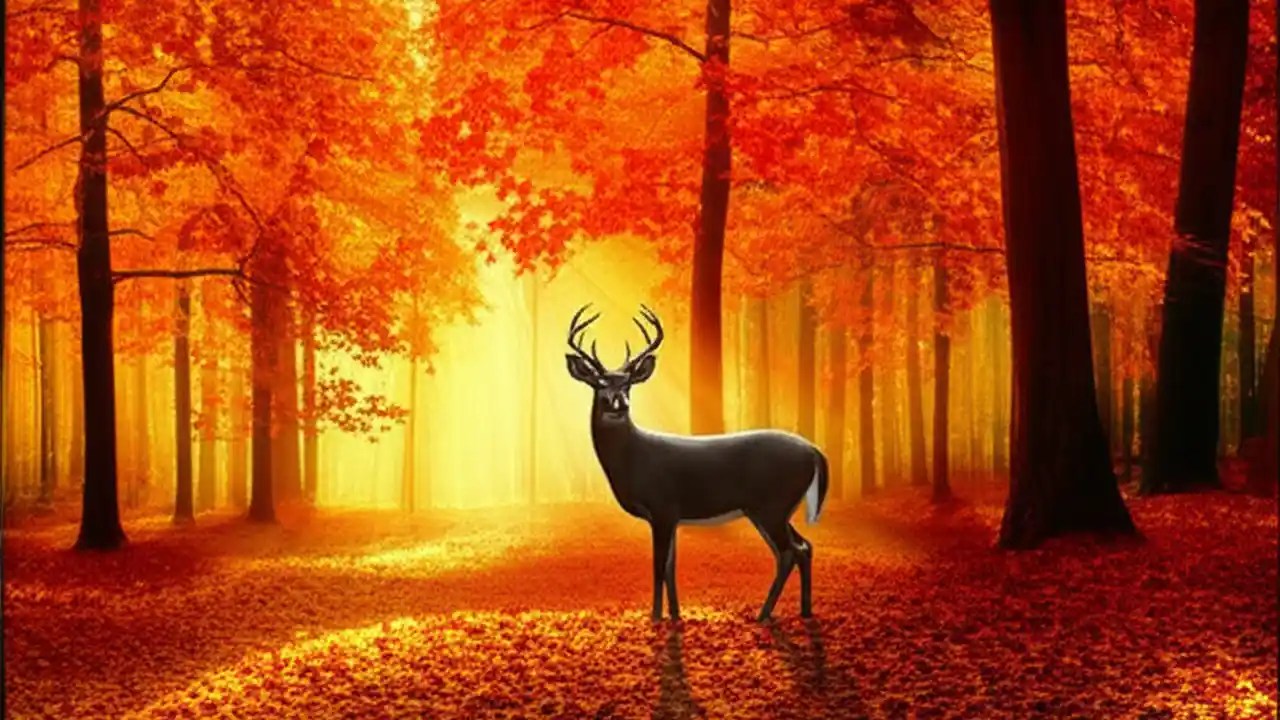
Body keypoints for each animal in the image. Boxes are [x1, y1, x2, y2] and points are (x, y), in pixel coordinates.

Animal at [564, 304, 829, 623]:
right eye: (599, 383)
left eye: (628, 384)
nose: (620, 403)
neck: (633, 460)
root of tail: (814, 450)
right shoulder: (671, 515)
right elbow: (670, 565)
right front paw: (675, 615)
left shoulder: (663, 507)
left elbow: (658, 565)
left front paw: (656, 617)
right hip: (778, 508)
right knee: (804, 547)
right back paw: (804, 611)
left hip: (771, 505)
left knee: (789, 552)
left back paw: (764, 614)